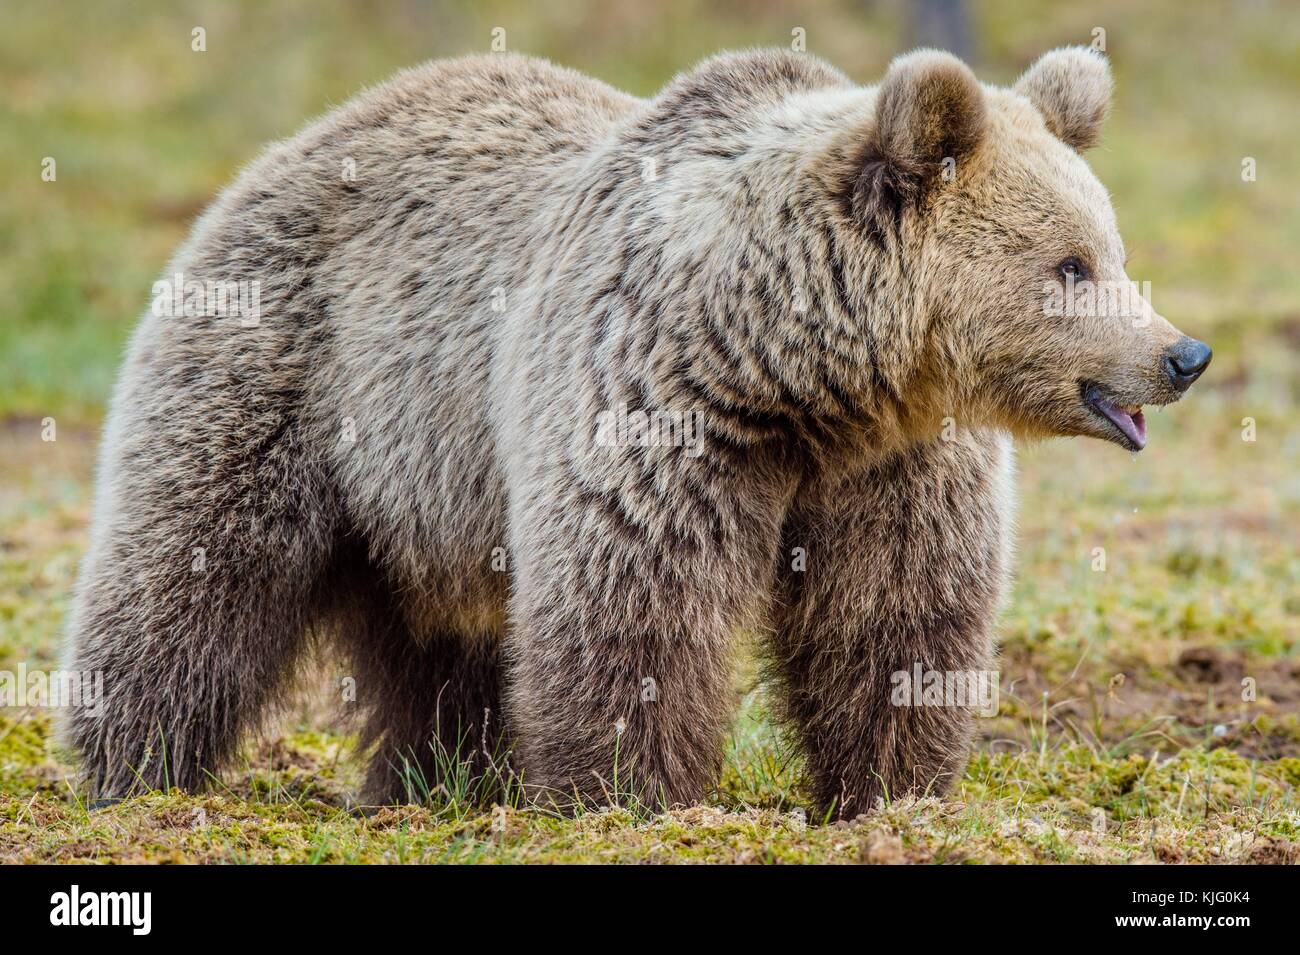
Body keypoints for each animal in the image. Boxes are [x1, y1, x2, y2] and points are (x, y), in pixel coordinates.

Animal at [63, 46, 1210, 817]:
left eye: (1111, 249)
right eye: (1070, 265)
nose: (1180, 353)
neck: (797, 372)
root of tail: (308, 135)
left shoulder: (892, 465)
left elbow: (895, 615)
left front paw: (890, 788)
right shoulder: (650, 405)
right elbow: (636, 600)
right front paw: (629, 790)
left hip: (429, 490)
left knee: (440, 639)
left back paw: (440, 780)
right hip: (294, 369)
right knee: (193, 568)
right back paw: (131, 766)